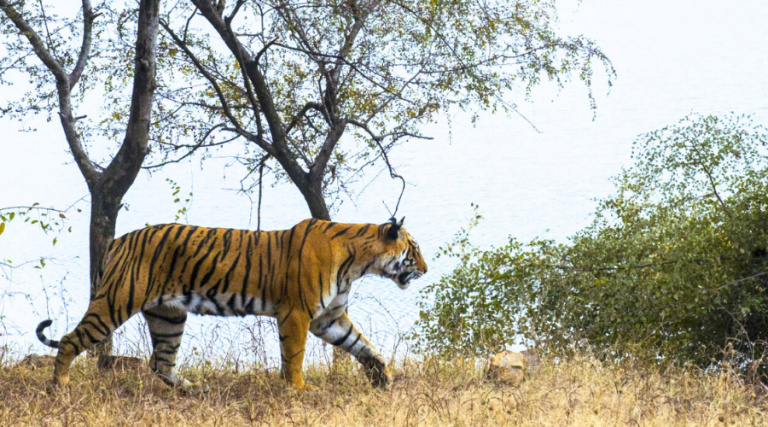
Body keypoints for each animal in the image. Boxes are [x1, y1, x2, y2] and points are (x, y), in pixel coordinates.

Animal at [36, 217, 427, 391]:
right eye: (415, 249)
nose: (426, 268)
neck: (358, 262)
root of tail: (119, 240)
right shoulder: (297, 314)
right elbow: (294, 355)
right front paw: (298, 390)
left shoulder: (329, 318)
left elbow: (362, 345)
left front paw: (383, 376)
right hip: (115, 301)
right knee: (70, 340)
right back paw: (61, 387)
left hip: (169, 316)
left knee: (160, 362)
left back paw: (194, 390)